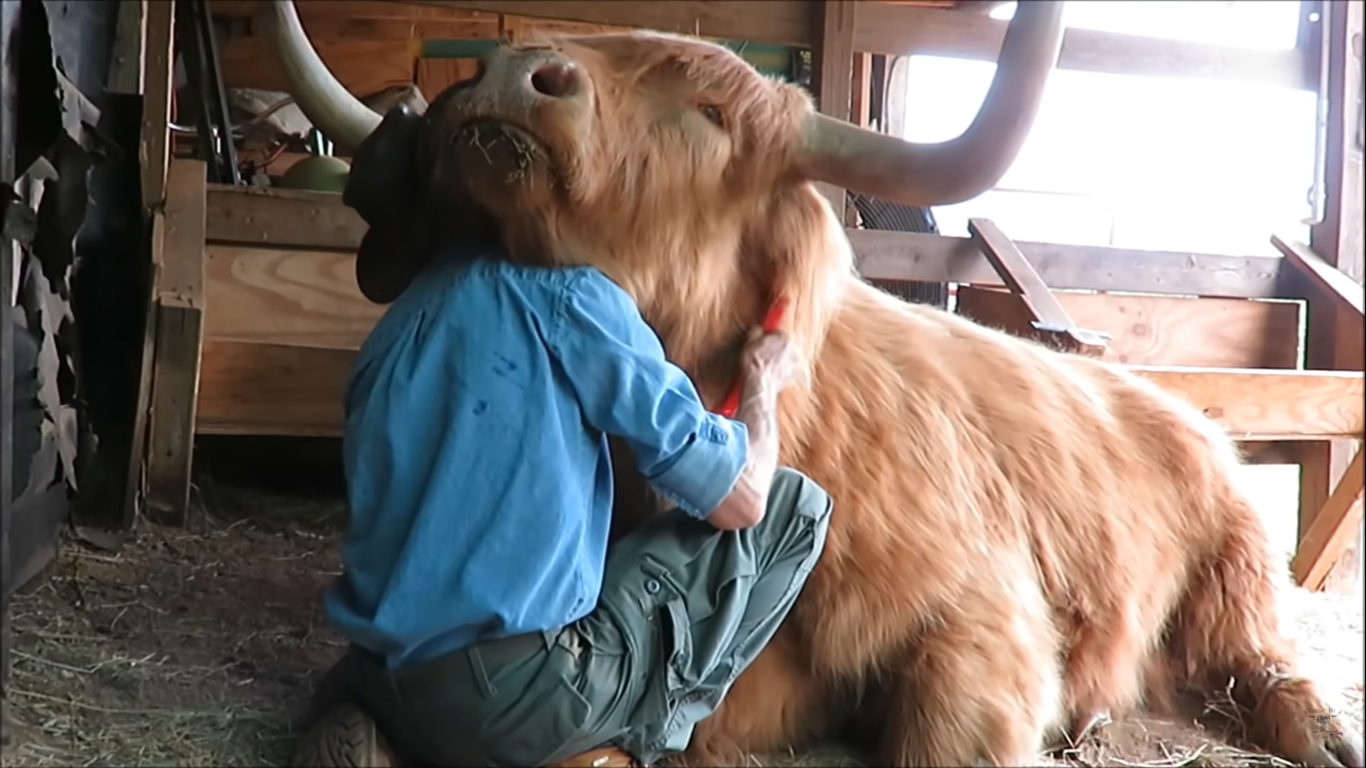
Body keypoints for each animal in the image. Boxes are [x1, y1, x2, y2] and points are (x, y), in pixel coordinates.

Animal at [263, 1, 1365, 766]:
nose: (509, 75)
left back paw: (1318, 730)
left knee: (1257, 651)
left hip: (1236, 564)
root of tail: (1171, 403)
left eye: (711, 110)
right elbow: (348, 730)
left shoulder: (979, 624)